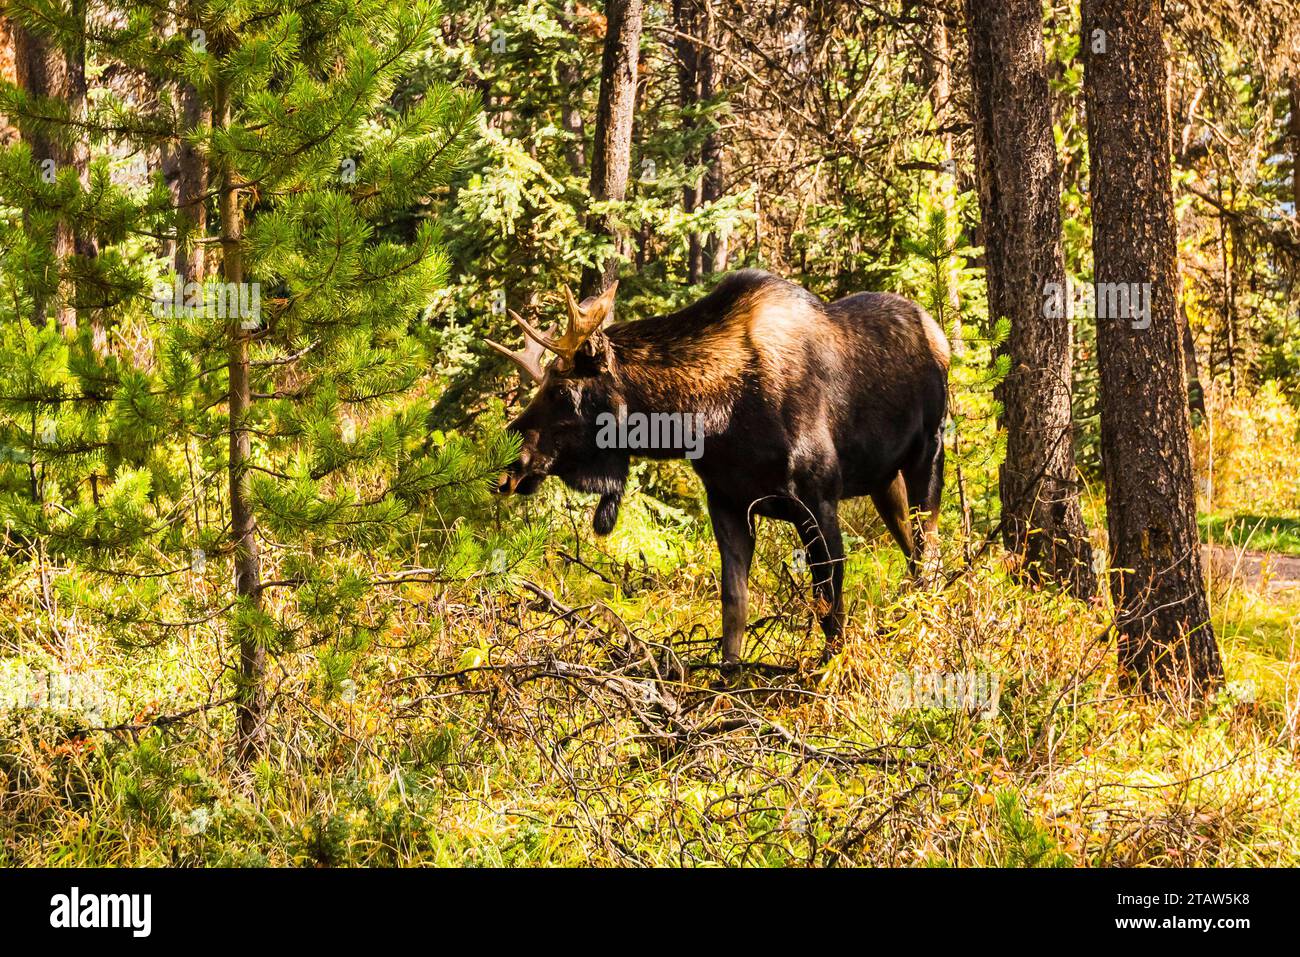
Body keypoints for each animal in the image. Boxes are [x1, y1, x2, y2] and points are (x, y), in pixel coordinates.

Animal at [488, 269, 949, 675]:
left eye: (564, 391)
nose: (508, 464)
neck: (710, 417)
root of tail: (939, 334)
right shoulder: (726, 501)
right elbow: (733, 605)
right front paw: (728, 688)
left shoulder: (818, 500)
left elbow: (829, 604)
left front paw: (832, 675)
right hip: (883, 480)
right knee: (911, 550)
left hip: (928, 453)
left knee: (929, 552)